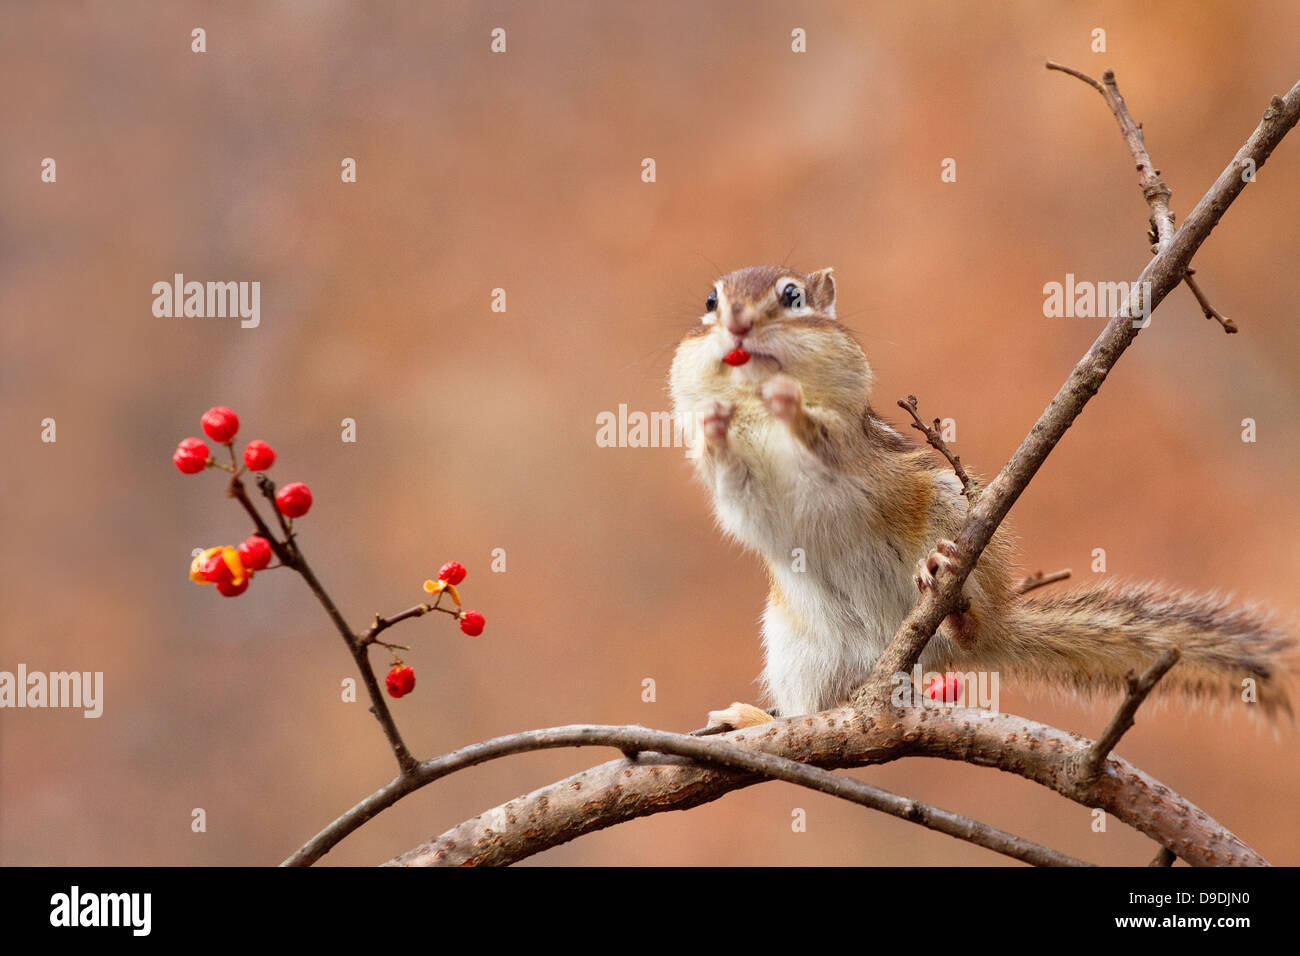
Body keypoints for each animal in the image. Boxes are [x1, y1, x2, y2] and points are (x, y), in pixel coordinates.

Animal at [669, 264, 1295, 729]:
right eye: (710, 300)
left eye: (792, 296)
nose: (736, 325)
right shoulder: (747, 495)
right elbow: (736, 492)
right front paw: (715, 426)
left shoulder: (853, 449)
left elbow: (823, 448)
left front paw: (791, 406)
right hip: (798, 649)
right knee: (809, 714)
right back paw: (754, 719)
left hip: (950, 509)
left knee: (962, 618)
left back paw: (955, 599)